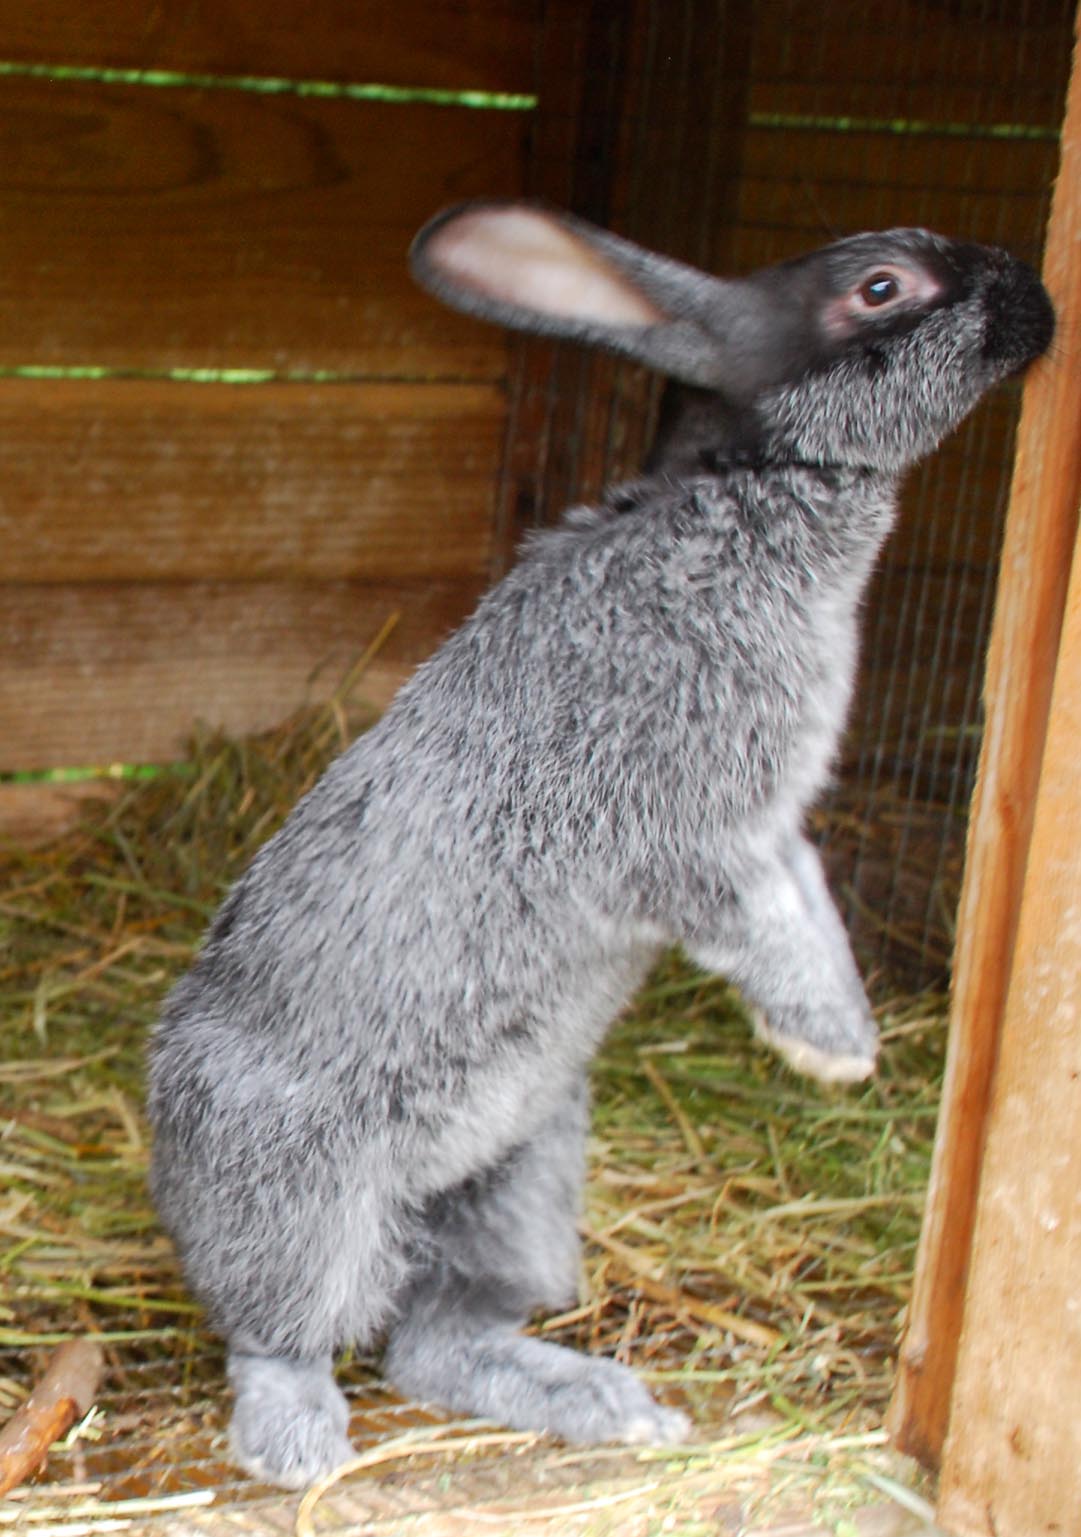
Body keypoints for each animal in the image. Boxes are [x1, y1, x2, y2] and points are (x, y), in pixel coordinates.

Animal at [146, 200, 1054, 1490]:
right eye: (880, 285)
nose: (1036, 294)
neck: (758, 487)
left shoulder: (779, 833)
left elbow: (814, 920)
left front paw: (850, 1040)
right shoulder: (692, 833)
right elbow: (760, 934)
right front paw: (828, 1054)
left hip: (525, 1177)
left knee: (438, 1341)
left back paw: (609, 1404)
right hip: (302, 1194)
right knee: (288, 1332)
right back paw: (303, 1445)